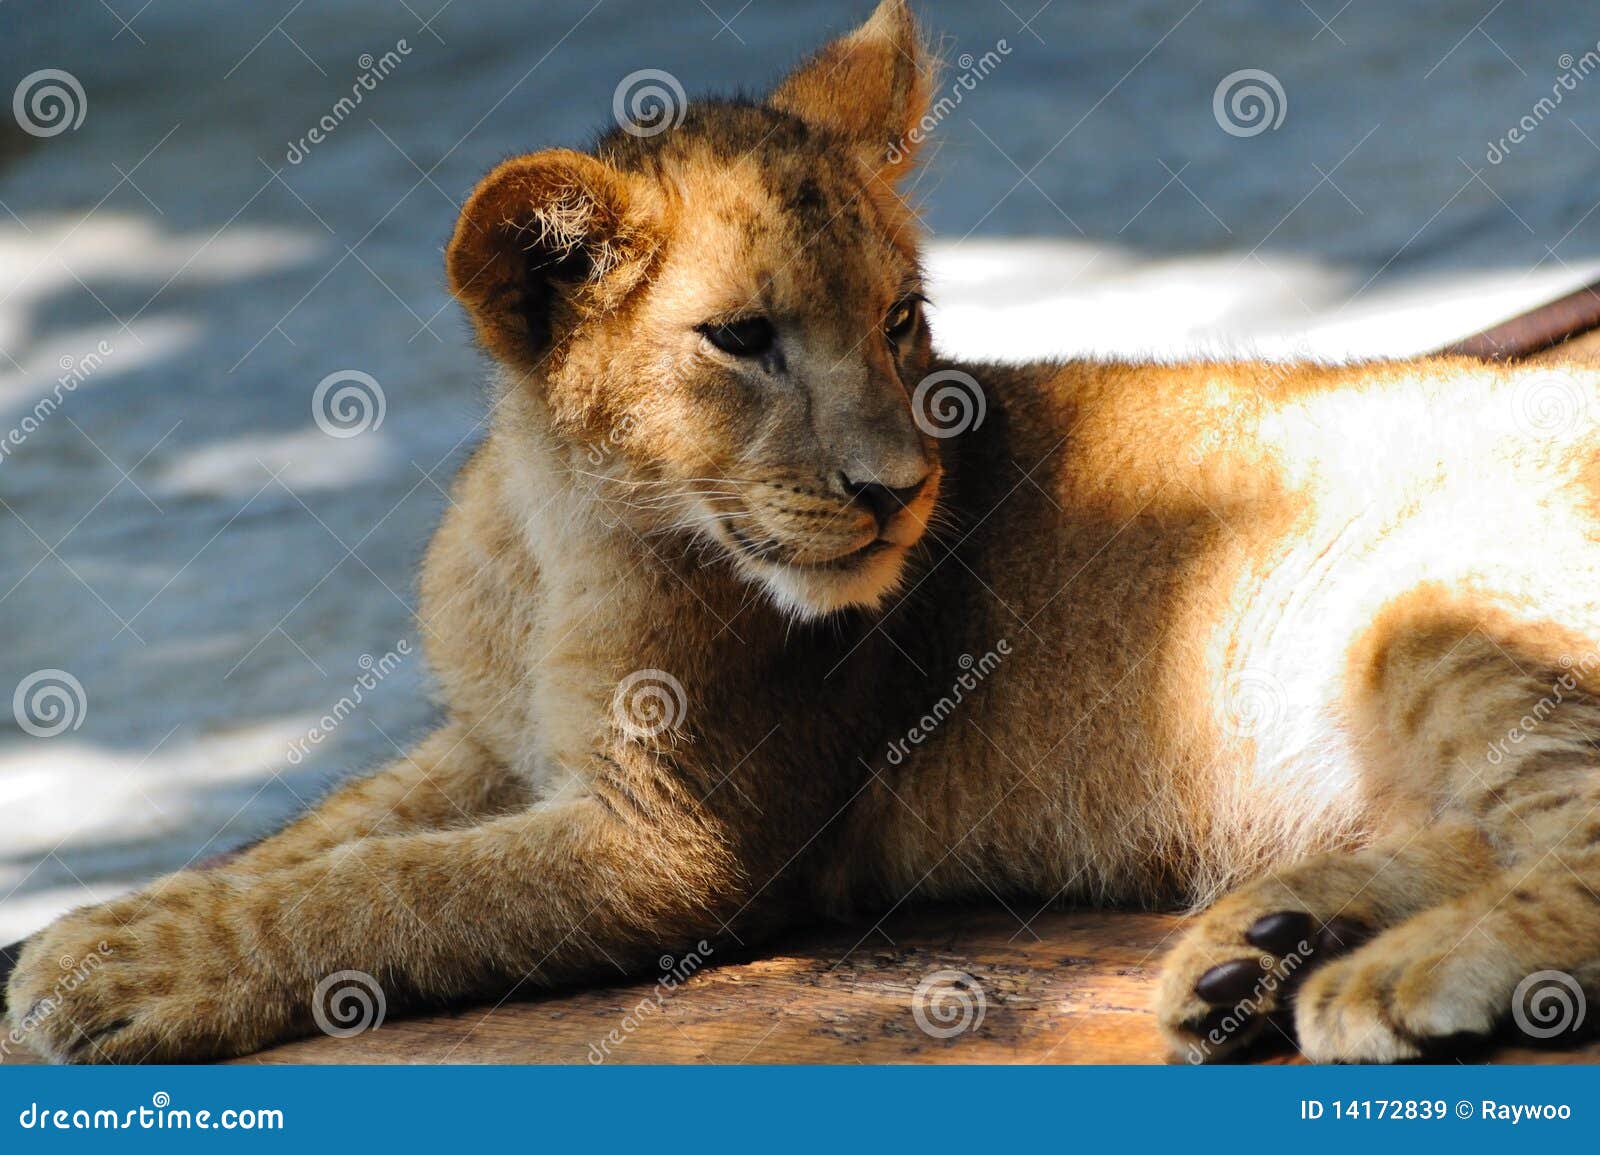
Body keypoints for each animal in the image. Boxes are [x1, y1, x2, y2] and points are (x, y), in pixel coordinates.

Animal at [9, 0, 1600, 1064]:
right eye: (742, 341)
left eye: (900, 320)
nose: (897, 490)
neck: (556, 532)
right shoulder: (494, 742)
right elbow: (318, 832)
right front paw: (86, 927)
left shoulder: (681, 842)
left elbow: (391, 889)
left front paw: (118, 969)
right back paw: (1260, 954)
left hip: (1430, 614)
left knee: (1569, 834)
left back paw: (1395, 977)